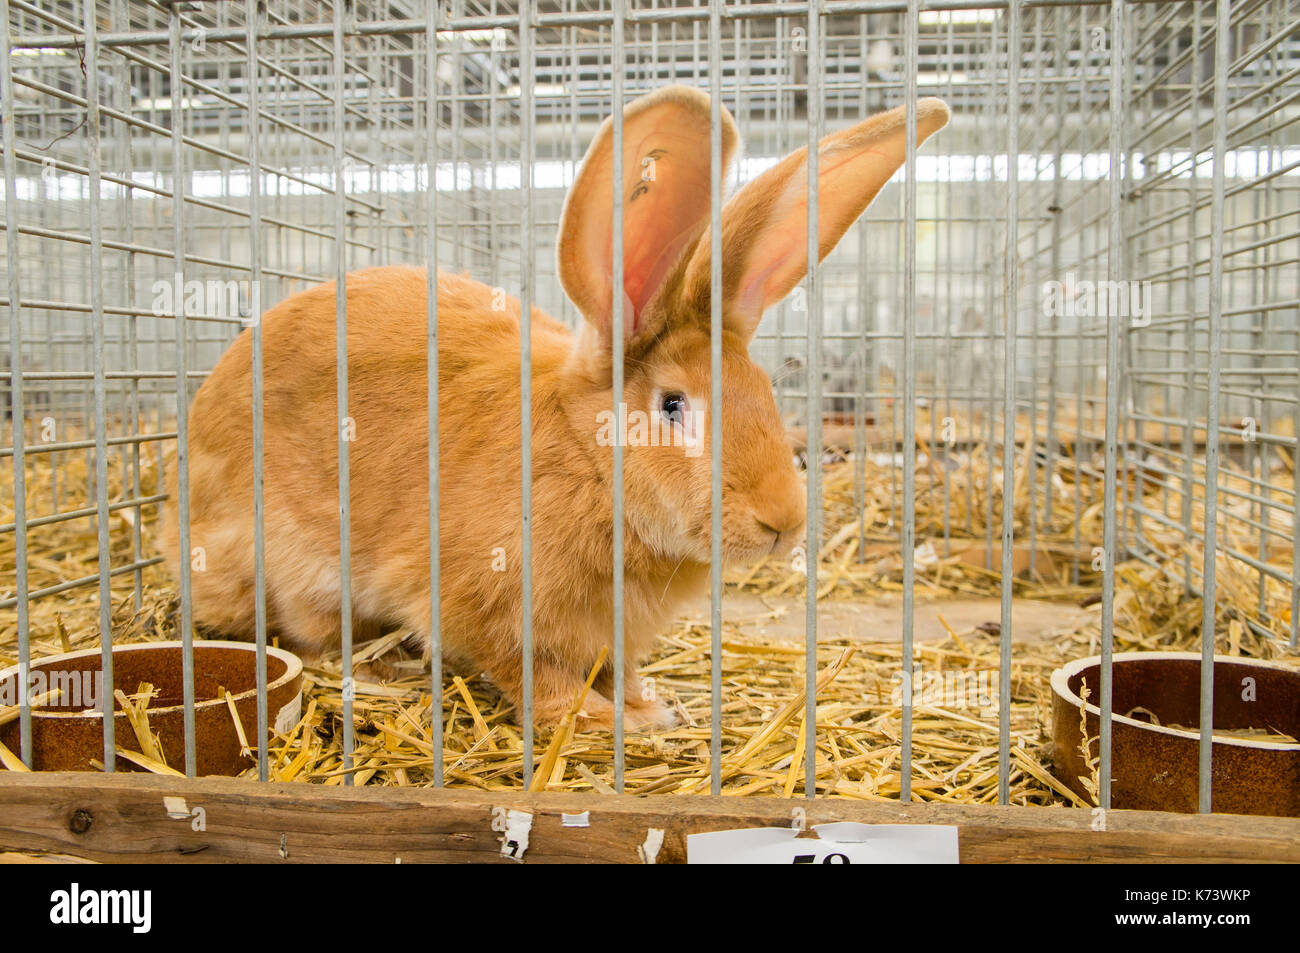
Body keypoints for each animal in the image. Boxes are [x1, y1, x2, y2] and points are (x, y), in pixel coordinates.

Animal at [162, 86, 949, 732]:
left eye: (765, 390)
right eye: (672, 405)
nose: (783, 521)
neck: (588, 460)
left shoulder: (612, 635)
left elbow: (617, 669)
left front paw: (651, 708)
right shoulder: (497, 611)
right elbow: (536, 677)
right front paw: (606, 720)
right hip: (294, 561)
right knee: (310, 630)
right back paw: (384, 662)